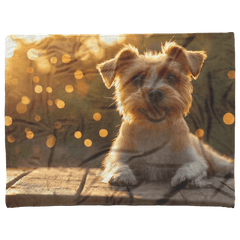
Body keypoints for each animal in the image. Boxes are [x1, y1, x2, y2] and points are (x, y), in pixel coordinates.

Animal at [96, 41, 234, 188]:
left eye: (171, 77)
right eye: (136, 79)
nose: (155, 93)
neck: (154, 131)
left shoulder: (194, 159)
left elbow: (191, 166)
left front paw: (186, 176)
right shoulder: (118, 157)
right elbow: (117, 165)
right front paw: (121, 174)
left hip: (212, 157)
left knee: (222, 163)